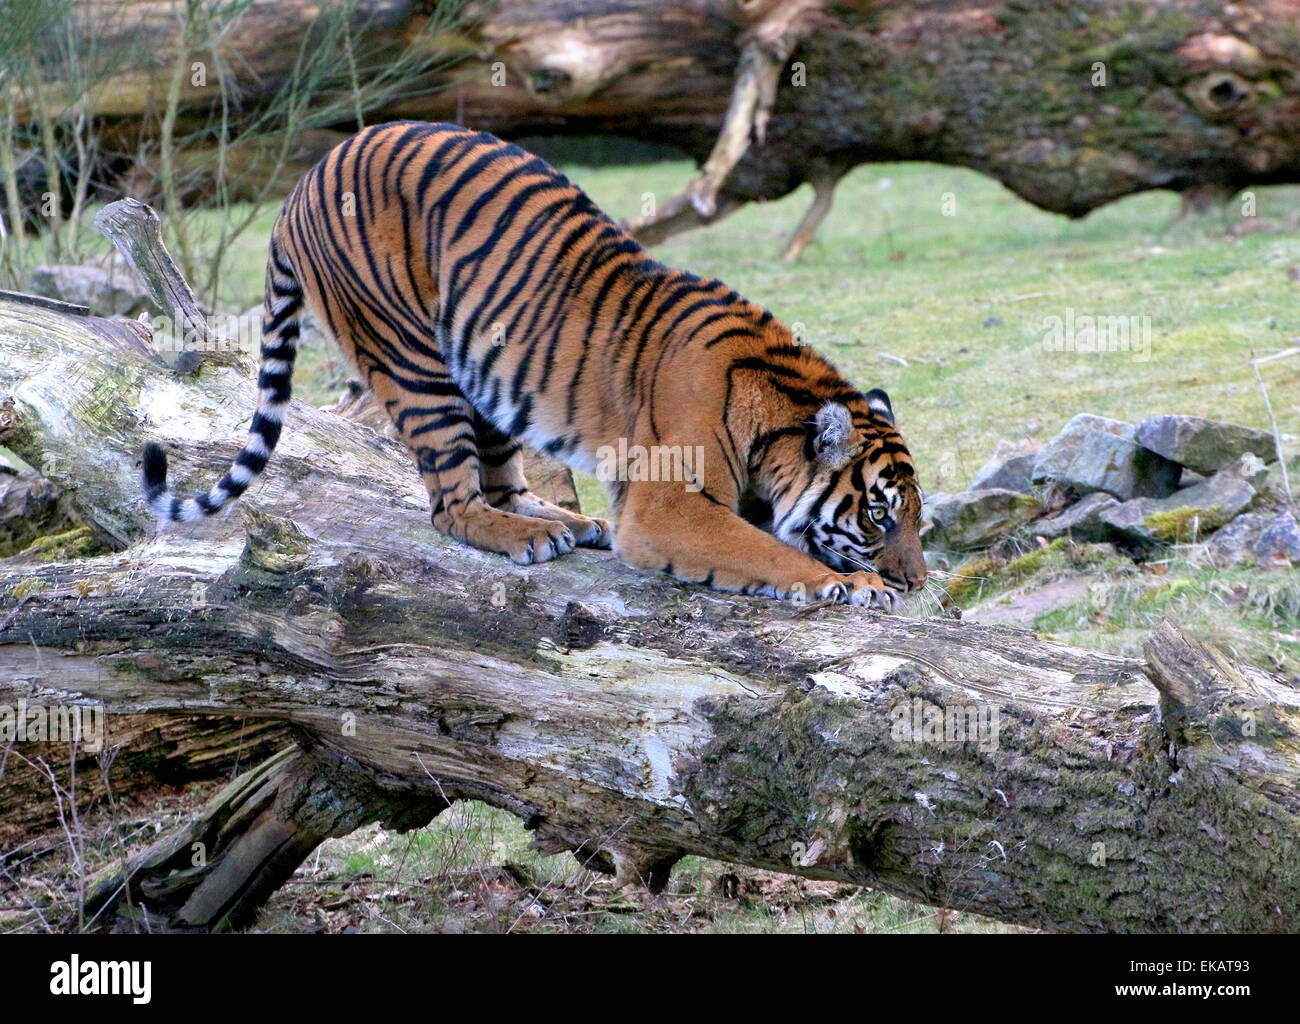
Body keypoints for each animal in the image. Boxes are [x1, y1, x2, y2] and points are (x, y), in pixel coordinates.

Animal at [142, 122, 927, 610]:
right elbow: (764, 550)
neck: (778, 409)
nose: (917, 583)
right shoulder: (668, 505)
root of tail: (301, 184)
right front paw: (858, 587)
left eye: (919, 519)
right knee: (451, 505)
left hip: (488, 365)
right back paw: (519, 535)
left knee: (502, 477)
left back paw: (561, 521)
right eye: (879, 516)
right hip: (413, 358)